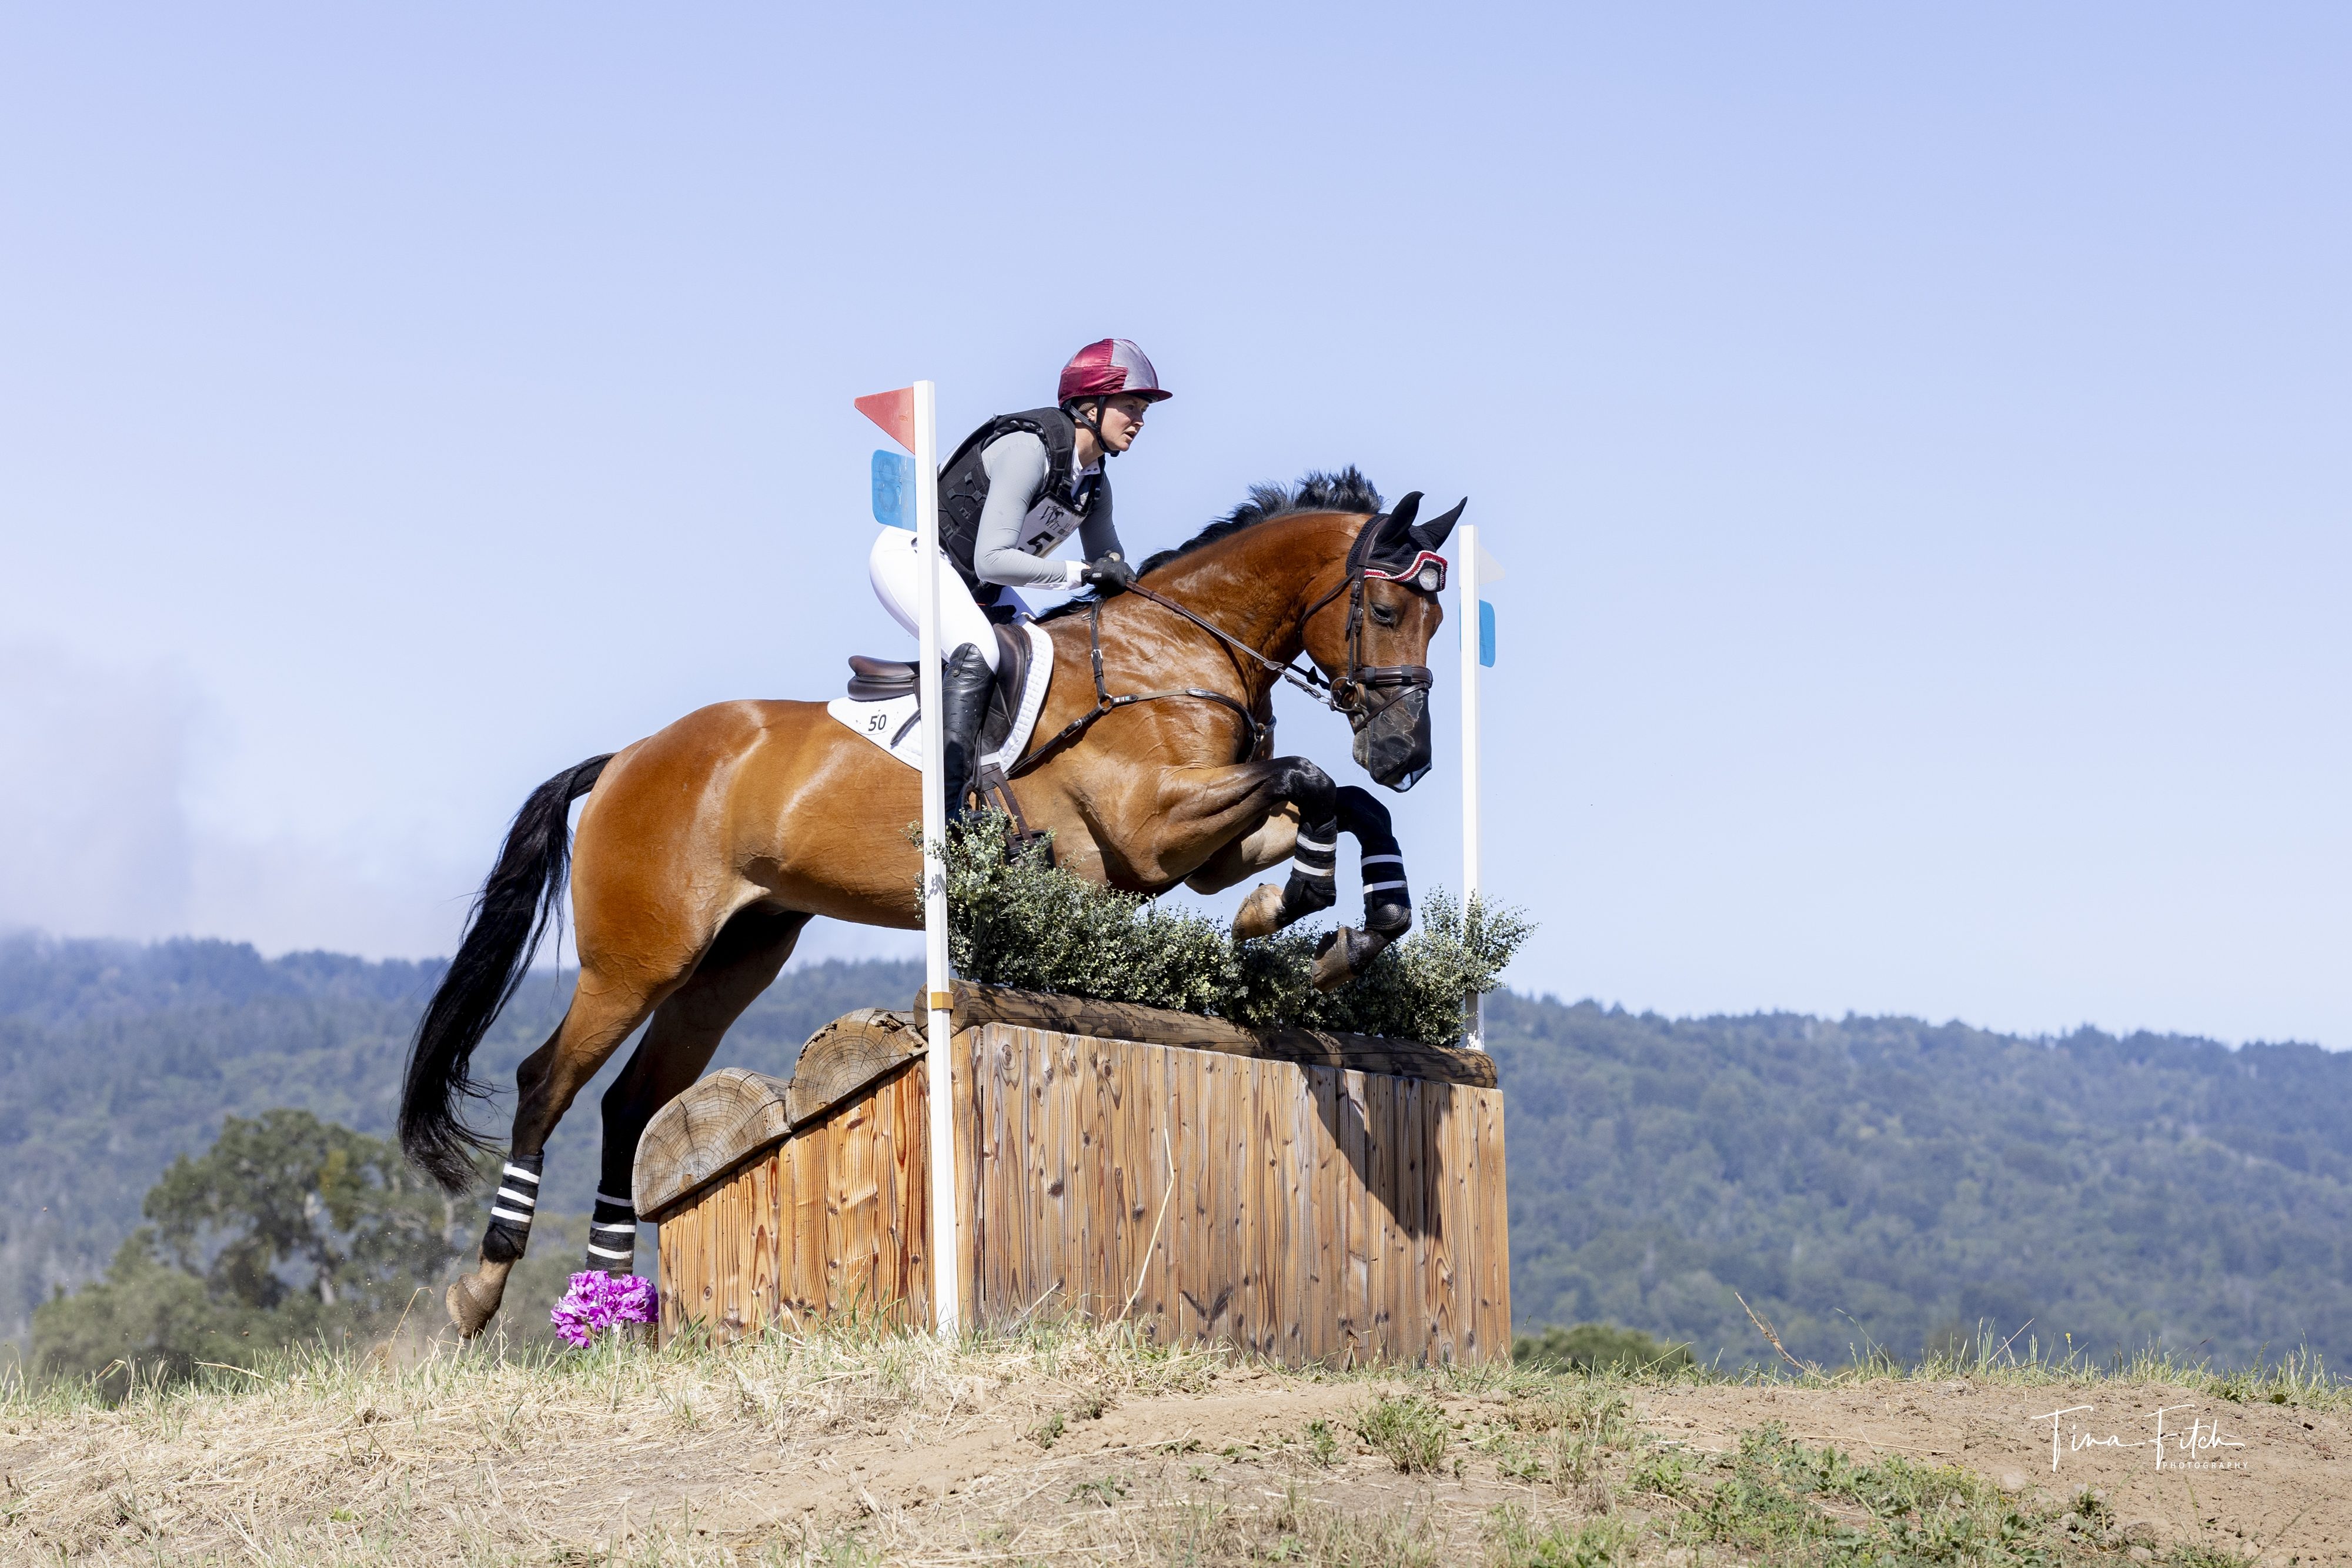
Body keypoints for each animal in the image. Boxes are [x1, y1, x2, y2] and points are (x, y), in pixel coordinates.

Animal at [399, 469, 1463, 1335]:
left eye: (1440, 621)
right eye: (1383, 605)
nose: (1407, 754)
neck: (1172, 653)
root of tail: (625, 757)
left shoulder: (1197, 848)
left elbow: (1337, 798)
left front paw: (1340, 923)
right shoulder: (1150, 827)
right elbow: (1313, 778)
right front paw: (1305, 901)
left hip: (736, 957)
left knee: (631, 1101)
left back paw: (612, 1302)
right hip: (640, 954)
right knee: (547, 1081)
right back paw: (484, 1290)